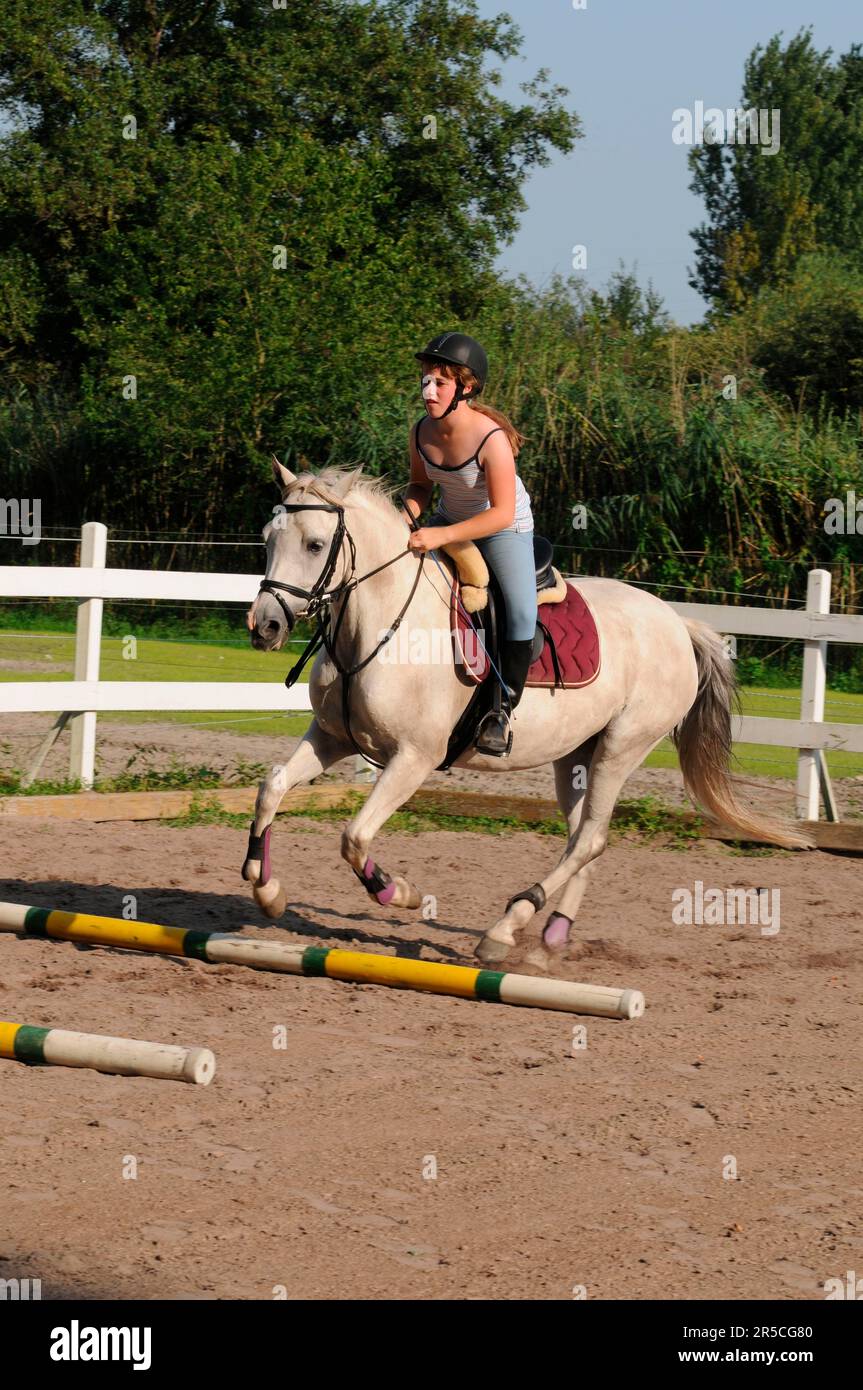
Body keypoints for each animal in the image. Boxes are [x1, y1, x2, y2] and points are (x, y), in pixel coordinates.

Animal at [243, 458, 809, 965]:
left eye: (315, 545)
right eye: (268, 539)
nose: (265, 625)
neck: (381, 624)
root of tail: (675, 622)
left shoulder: (413, 759)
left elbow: (354, 837)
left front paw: (396, 890)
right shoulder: (333, 737)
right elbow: (272, 786)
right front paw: (265, 888)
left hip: (622, 747)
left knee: (590, 839)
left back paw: (505, 927)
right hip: (575, 755)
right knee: (586, 838)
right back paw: (552, 936)